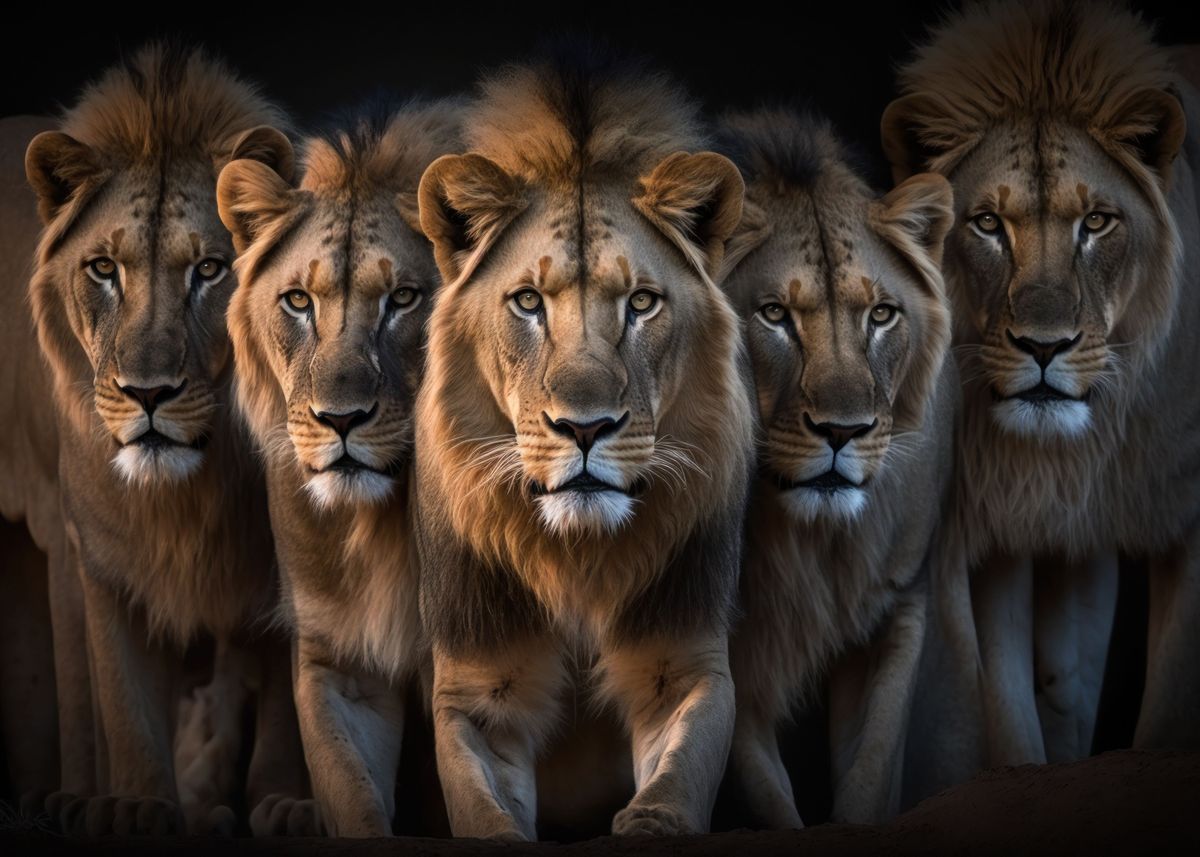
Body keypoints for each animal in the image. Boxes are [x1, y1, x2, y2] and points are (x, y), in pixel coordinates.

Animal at [0, 44, 310, 835]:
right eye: (103, 268)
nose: (147, 394)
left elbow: (289, 699)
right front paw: (136, 803)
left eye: (209, 268)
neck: (189, 488)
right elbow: (119, 692)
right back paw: (67, 795)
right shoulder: (98, 552)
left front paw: (286, 800)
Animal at [217, 100, 462, 837]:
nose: (340, 419)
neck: (381, 520)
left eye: (404, 299)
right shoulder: (337, 660)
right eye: (298, 301)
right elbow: (350, 790)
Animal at [413, 51, 754, 839]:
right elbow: (480, 808)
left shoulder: (683, 664)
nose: (586, 427)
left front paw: (651, 824)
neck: (577, 557)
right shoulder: (479, 688)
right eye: (528, 302)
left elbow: (680, 773)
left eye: (641, 303)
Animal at [713, 109, 956, 826]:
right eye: (774, 315)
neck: (811, 539)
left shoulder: (898, 603)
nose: (843, 432)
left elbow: (871, 767)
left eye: (881, 314)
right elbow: (765, 790)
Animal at [883, 0, 1200, 764]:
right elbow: (1007, 714)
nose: (1044, 346)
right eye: (987, 223)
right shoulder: (995, 524)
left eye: (1098, 222)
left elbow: (1172, 706)